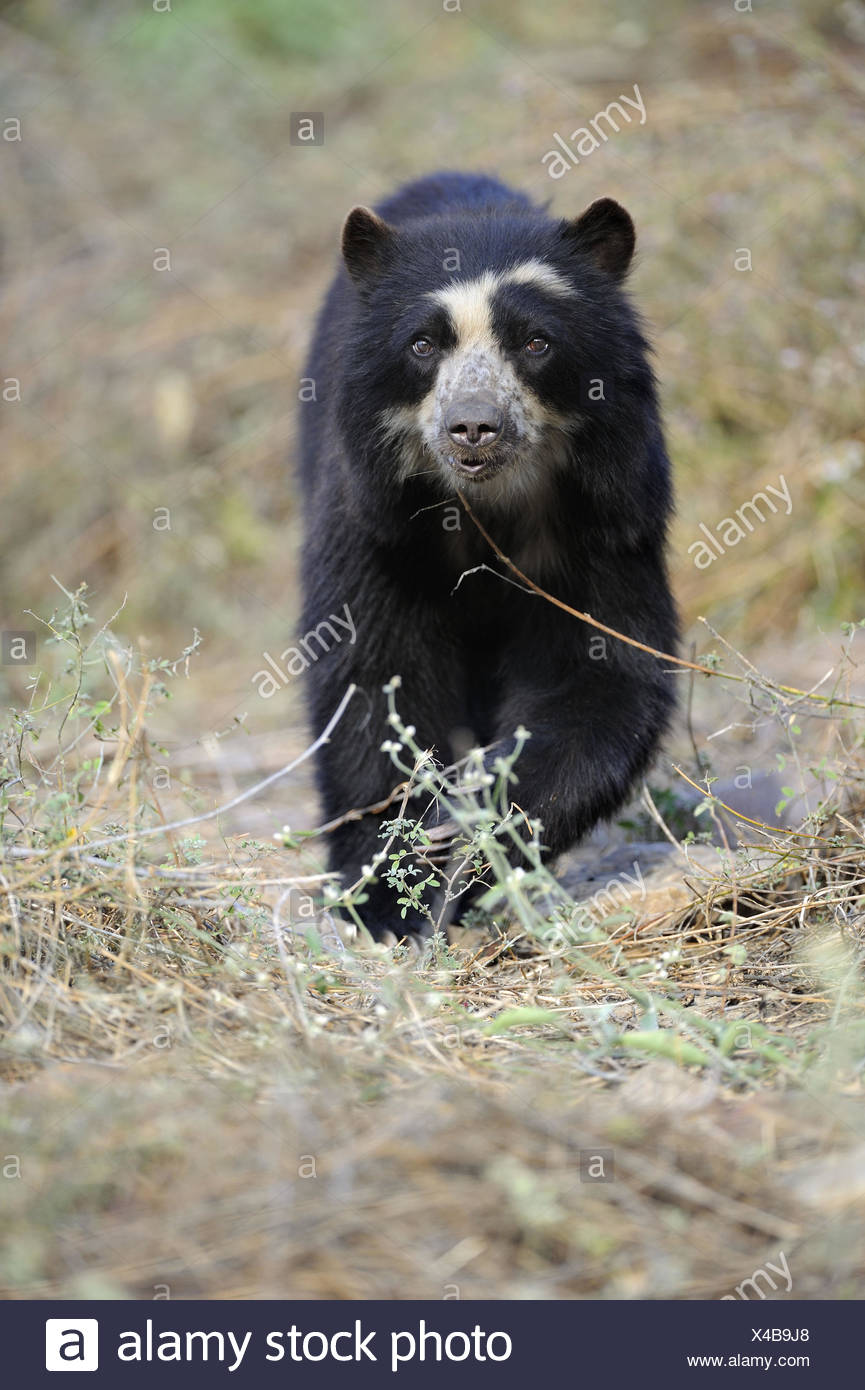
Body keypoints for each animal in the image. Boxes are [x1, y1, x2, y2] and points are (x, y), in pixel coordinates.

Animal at [298, 171, 678, 940]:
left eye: (535, 342)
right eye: (422, 345)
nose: (473, 427)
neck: (487, 505)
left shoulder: (606, 521)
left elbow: (600, 673)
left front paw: (473, 841)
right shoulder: (377, 527)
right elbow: (371, 676)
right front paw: (386, 896)